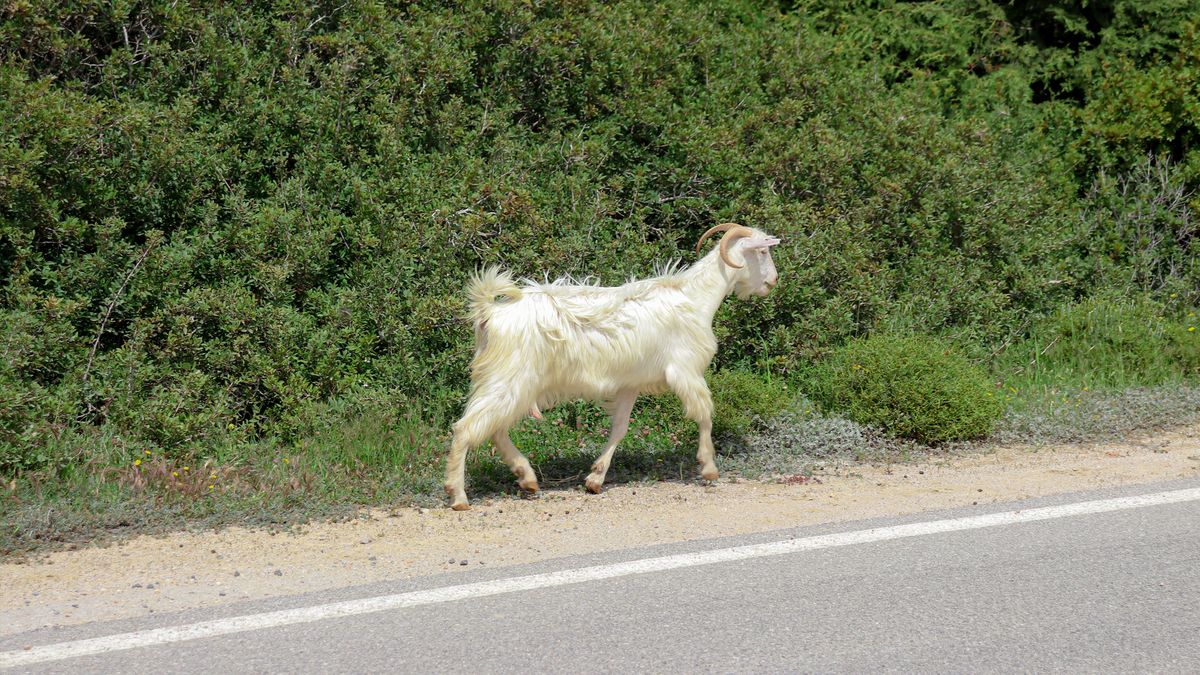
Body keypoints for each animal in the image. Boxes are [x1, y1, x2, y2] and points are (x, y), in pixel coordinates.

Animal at [444, 223, 782, 509]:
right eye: (763, 251)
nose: (772, 282)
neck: (694, 298)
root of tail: (491, 312)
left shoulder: (629, 383)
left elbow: (619, 428)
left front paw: (595, 479)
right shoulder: (685, 370)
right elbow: (704, 413)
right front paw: (709, 468)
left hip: (510, 383)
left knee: (495, 429)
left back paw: (526, 478)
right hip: (509, 378)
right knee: (467, 428)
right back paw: (458, 496)